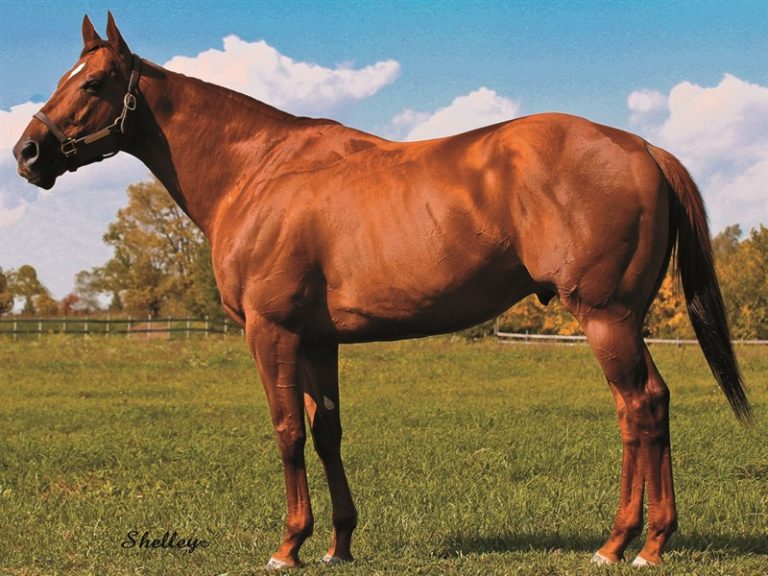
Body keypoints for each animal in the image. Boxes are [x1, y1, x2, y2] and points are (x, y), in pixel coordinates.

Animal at [13, 13, 751, 569]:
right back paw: (651, 538)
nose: (27, 153)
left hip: (605, 318)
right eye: (64, 78)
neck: (259, 172)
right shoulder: (318, 340)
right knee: (654, 404)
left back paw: (625, 543)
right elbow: (327, 432)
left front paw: (288, 545)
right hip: (622, 318)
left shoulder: (272, 332)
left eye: (96, 82)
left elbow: (286, 430)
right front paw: (337, 543)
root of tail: (644, 148)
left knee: (638, 408)